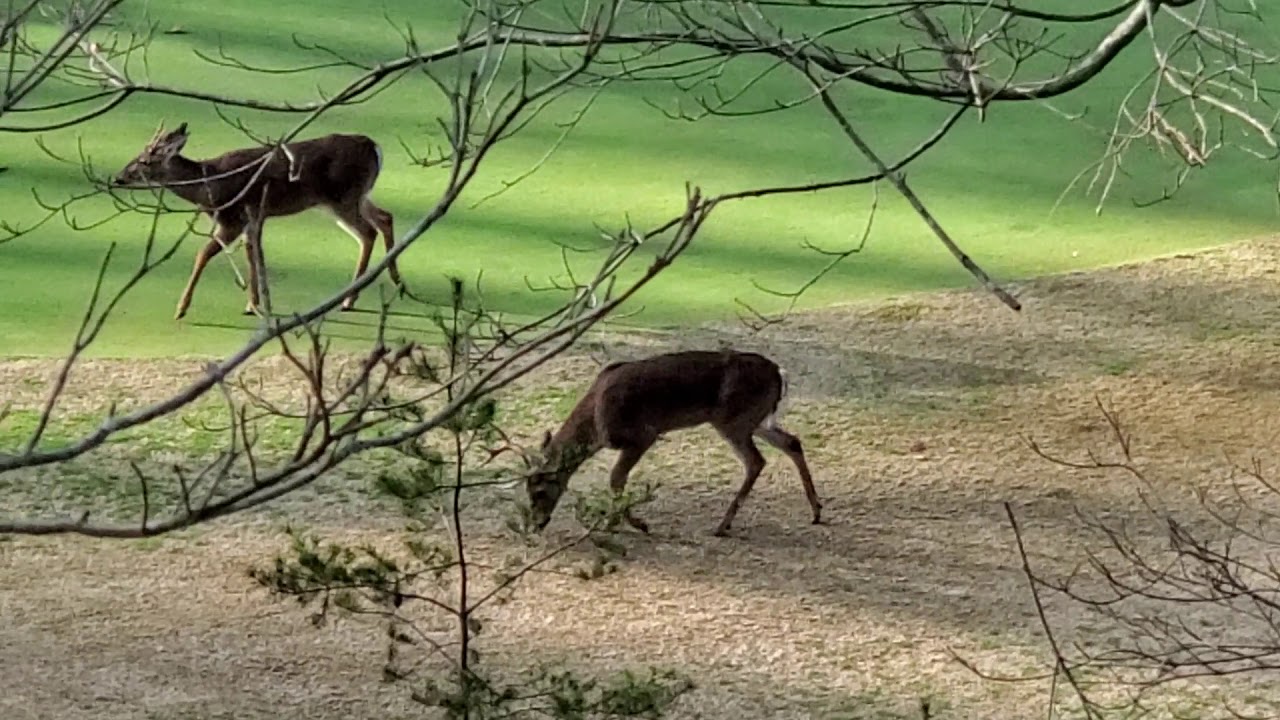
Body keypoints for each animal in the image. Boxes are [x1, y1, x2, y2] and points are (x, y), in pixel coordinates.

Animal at [112, 122, 405, 320]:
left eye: (145, 160)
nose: (118, 177)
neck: (208, 187)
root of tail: (374, 147)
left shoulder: (232, 219)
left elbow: (203, 254)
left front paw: (181, 309)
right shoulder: (252, 220)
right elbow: (253, 255)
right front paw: (253, 305)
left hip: (342, 198)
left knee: (368, 232)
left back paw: (350, 298)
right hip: (356, 197)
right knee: (385, 218)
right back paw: (394, 283)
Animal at [523, 349, 824, 537]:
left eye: (539, 489)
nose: (536, 523)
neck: (595, 427)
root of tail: (779, 372)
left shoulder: (641, 435)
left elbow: (616, 478)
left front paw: (628, 524)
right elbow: (616, 479)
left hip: (734, 419)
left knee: (756, 461)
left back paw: (722, 525)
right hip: (758, 420)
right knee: (792, 442)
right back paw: (816, 511)